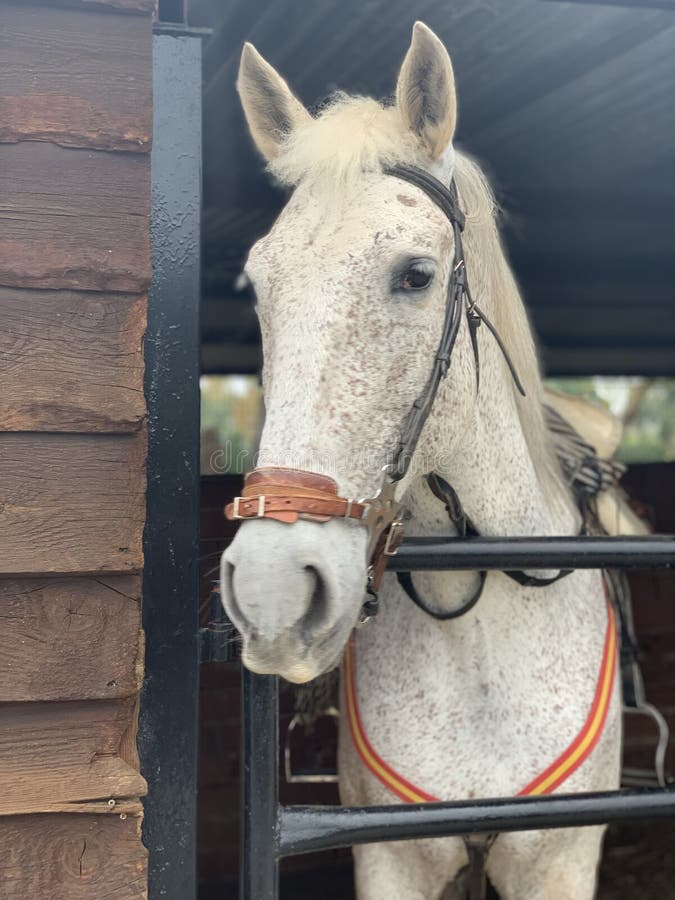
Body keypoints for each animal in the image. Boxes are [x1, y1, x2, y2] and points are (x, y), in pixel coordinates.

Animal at [221, 22, 621, 900]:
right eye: (259, 288)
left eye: (415, 276)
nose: (271, 588)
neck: (480, 638)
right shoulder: (390, 859)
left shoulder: (562, 859)